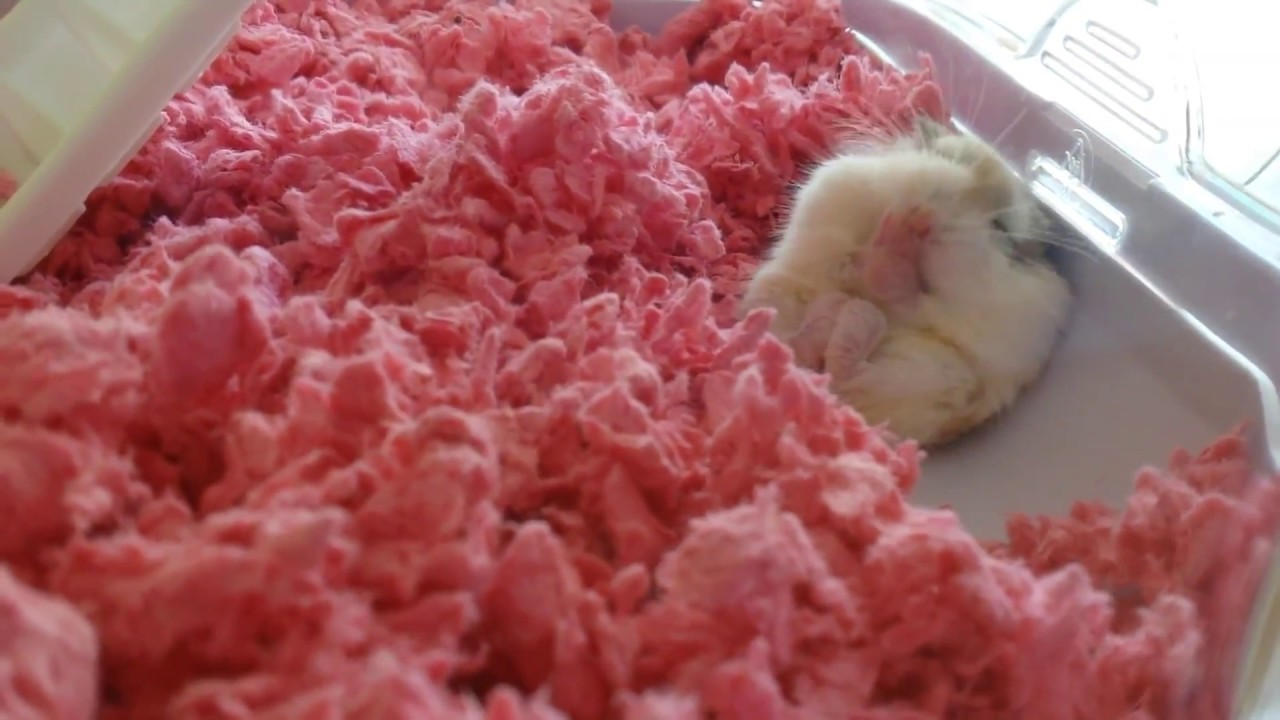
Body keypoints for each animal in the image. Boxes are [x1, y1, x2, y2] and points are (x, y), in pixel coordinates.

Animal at [739, 116, 1071, 447]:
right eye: (947, 157)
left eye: (999, 226)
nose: (922, 220)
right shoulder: (830, 205)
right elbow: (845, 255)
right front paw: (891, 232)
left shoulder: (1001, 322)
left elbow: (920, 304)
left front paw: (891, 249)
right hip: (776, 298)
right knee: (799, 347)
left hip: (928, 374)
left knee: (847, 374)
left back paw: (854, 311)